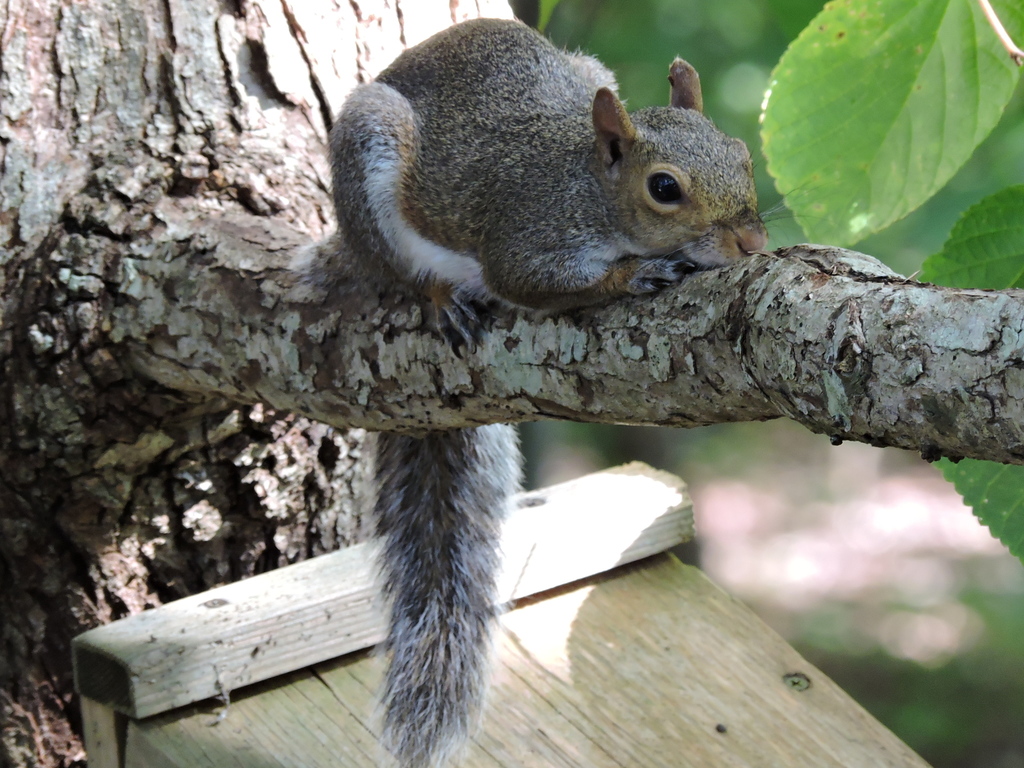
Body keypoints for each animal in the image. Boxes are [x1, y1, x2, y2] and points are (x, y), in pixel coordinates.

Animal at [319, 16, 767, 768]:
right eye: (664, 188)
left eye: (743, 156)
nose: (751, 244)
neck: (590, 189)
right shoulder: (524, 244)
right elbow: (534, 285)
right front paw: (633, 276)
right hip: (369, 165)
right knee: (401, 270)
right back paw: (440, 296)